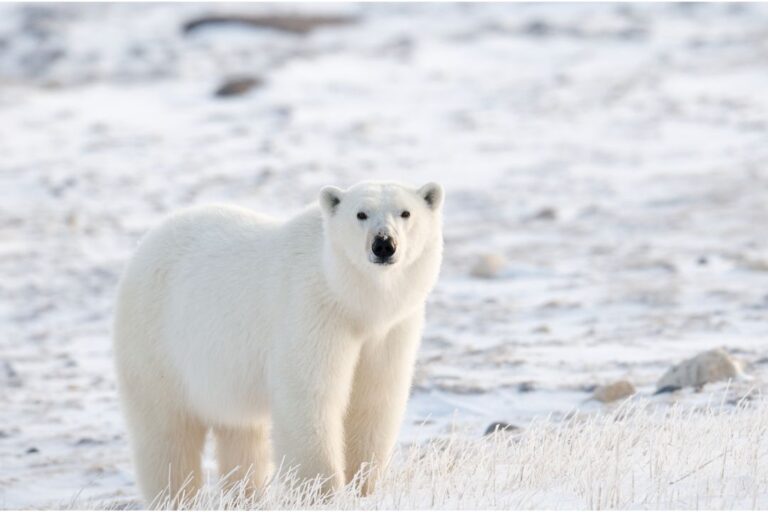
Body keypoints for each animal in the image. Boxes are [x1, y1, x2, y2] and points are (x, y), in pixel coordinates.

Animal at [112, 180, 444, 505]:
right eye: (361, 214)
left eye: (405, 213)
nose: (384, 244)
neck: (352, 301)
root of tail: (147, 242)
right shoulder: (312, 312)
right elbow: (309, 397)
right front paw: (322, 493)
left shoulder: (390, 330)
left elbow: (373, 399)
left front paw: (363, 488)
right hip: (157, 344)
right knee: (167, 433)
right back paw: (175, 497)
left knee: (241, 434)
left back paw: (246, 496)